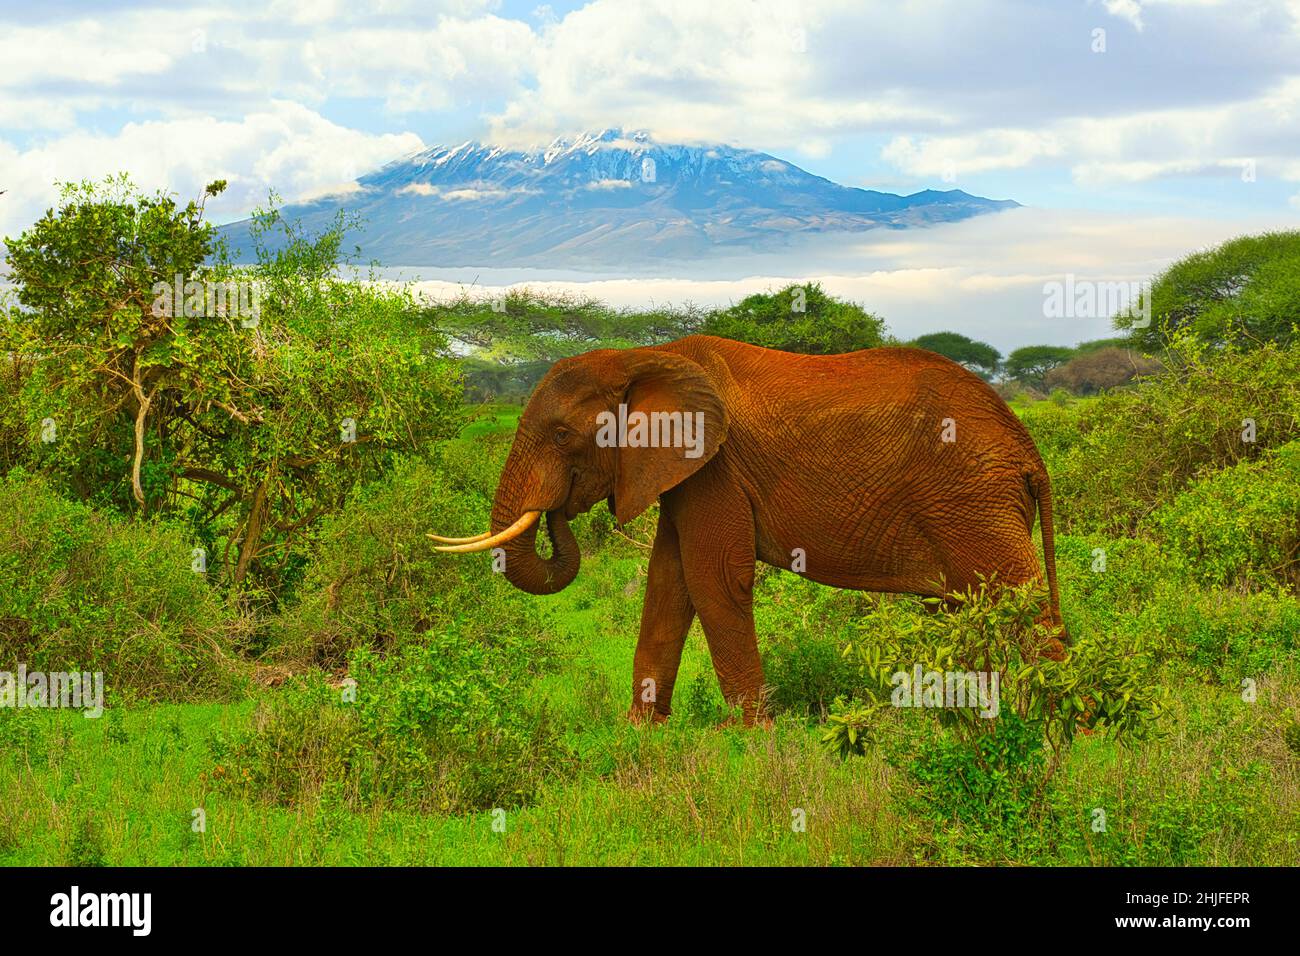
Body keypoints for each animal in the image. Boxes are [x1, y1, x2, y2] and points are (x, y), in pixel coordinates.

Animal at [430, 335, 1064, 726]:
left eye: (562, 436)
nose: (558, 510)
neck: (645, 358)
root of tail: (1028, 449)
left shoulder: (717, 466)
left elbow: (713, 578)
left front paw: (750, 738)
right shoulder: (687, 471)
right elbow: (668, 584)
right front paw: (641, 733)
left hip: (973, 499)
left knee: (1021, 602)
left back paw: (1065, 729)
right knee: (966, 609)